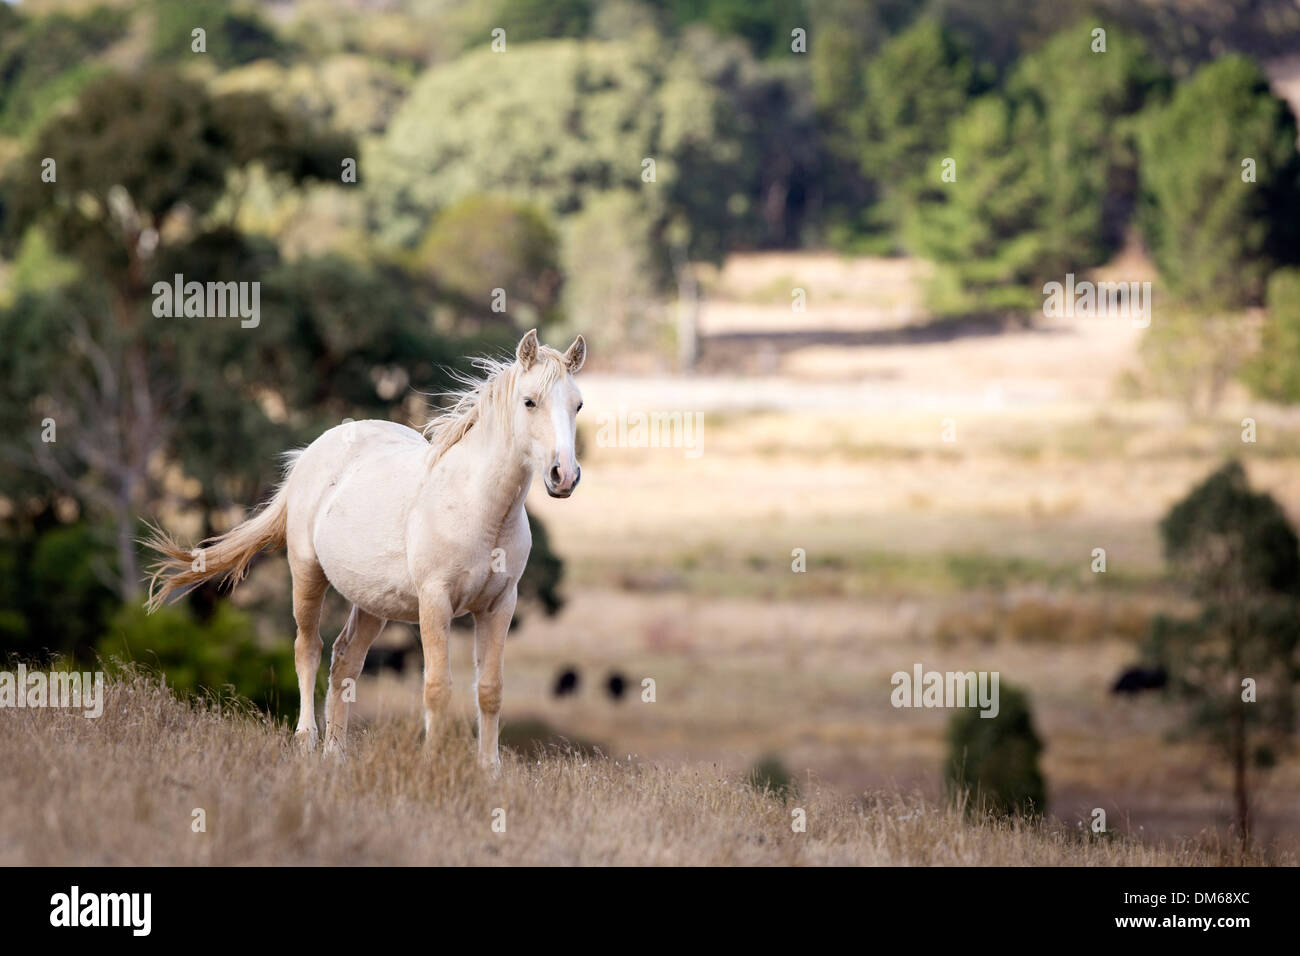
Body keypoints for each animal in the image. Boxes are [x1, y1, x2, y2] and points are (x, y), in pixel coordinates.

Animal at [143, 329, 585, 771]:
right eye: (529, 401)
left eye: (577, 404)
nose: (564, 476)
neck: (478, 508)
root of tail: (312, 452)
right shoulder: (435, 602)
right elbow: (437, 687)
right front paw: (432, 767)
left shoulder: (499, 606)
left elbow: (490, 690)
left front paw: (488, 771)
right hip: (307, 574)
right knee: (309, 650)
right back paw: (307, 740)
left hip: (373, 603)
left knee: (345, 661)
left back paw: (335, 752)